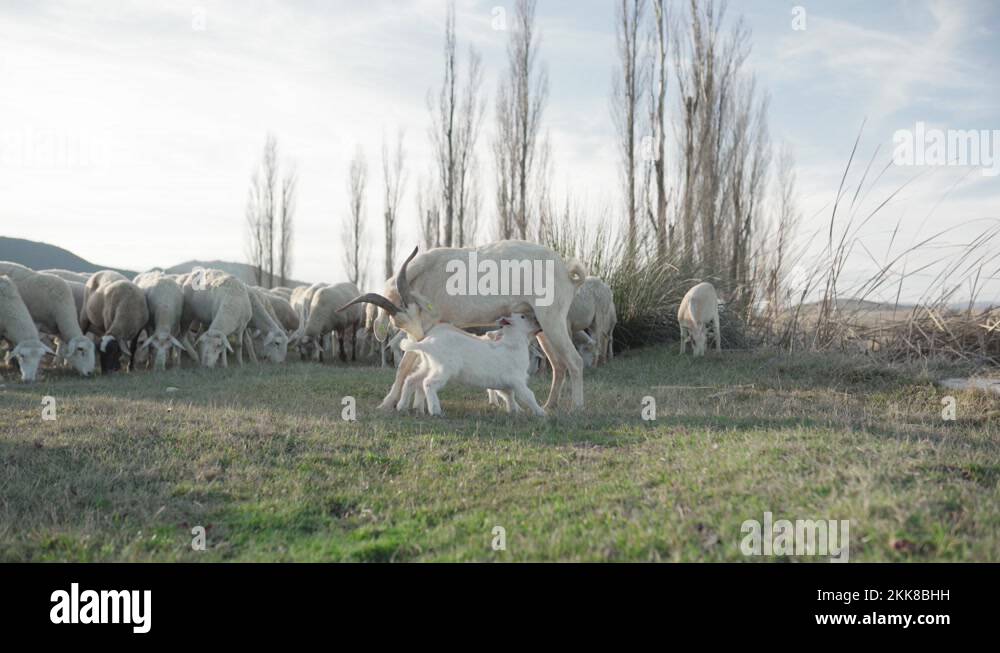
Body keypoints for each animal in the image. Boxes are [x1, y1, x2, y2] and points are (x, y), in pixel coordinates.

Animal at [397, 312, 546, 417]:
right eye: (522, 316)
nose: (538, 322)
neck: (512, 344)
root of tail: (426, 344)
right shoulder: (517, 380)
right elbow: (528, 396)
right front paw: (541, 413)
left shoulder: (506, 384)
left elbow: (509, 396)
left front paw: (515, 411)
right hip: (443, 369)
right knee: (428, 383)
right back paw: (435, 410)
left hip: (427, 366)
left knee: (411, 380)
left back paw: (401, 406)